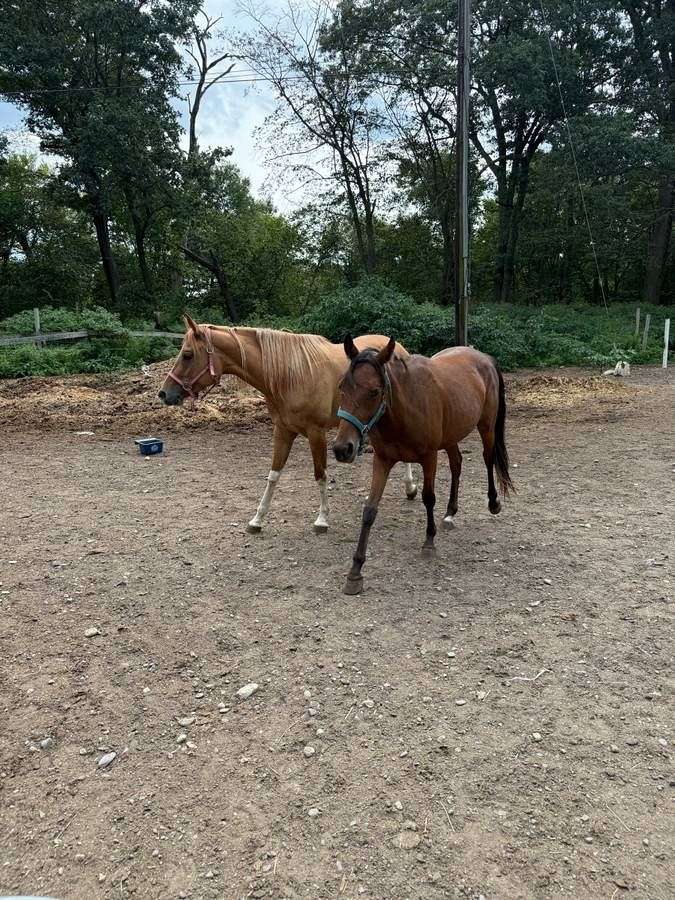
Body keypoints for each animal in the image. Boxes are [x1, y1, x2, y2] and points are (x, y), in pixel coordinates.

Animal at [158, 316, 418, 534]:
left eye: (188, 355)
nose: (164, 393)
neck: (289, 374)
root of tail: (397, 348)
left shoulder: (316, 433)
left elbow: (320, 474)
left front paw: (322, 519)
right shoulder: (282, 431)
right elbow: (273, 475)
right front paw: (257, 519)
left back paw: (410, 488)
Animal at [332, 334, 514, 595]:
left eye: (374, 391)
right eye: (342, 387)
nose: (342, 448)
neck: (405, 408)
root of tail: (484, 358)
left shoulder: (429, 458)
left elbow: (428, 498)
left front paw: (429, 543)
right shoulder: (382, 461)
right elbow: (369, 510)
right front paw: (355, 571)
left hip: (486, 427)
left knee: (488, 460)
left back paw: (493, 503)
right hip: (451, 435)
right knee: (457, 464)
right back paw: (450, 513)